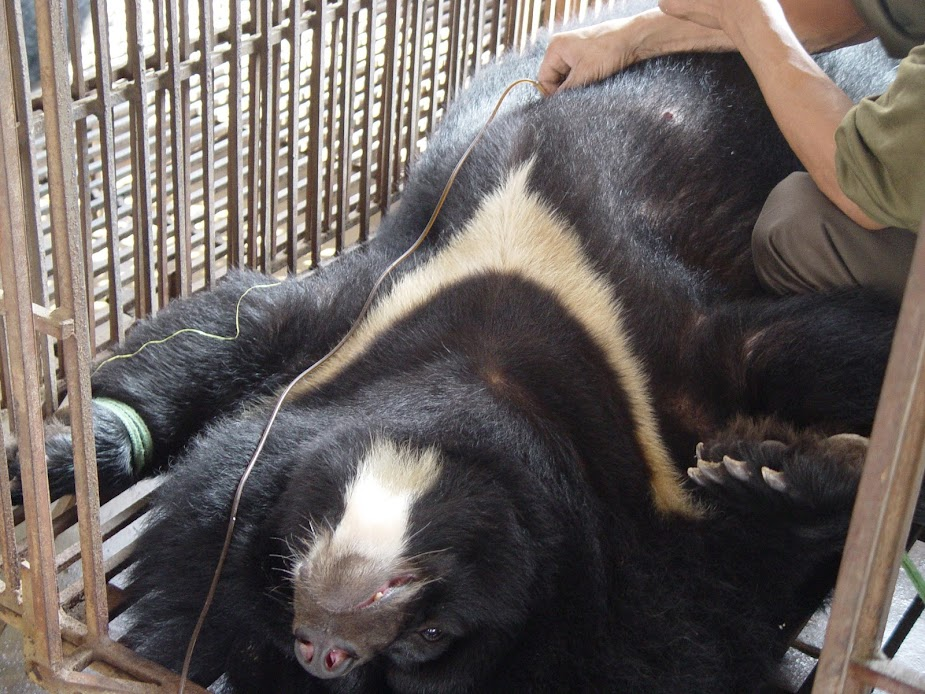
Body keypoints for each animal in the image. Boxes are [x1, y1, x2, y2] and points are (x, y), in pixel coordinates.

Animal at [7, 6, 901, 693]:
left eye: (427, 636)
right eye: (288, 559)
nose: (327, 638)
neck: (490, 361)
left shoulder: (662, 369)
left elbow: (821, 359)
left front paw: (766, 467)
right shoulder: (378, 290)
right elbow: (240, 320)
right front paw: (54, 453)